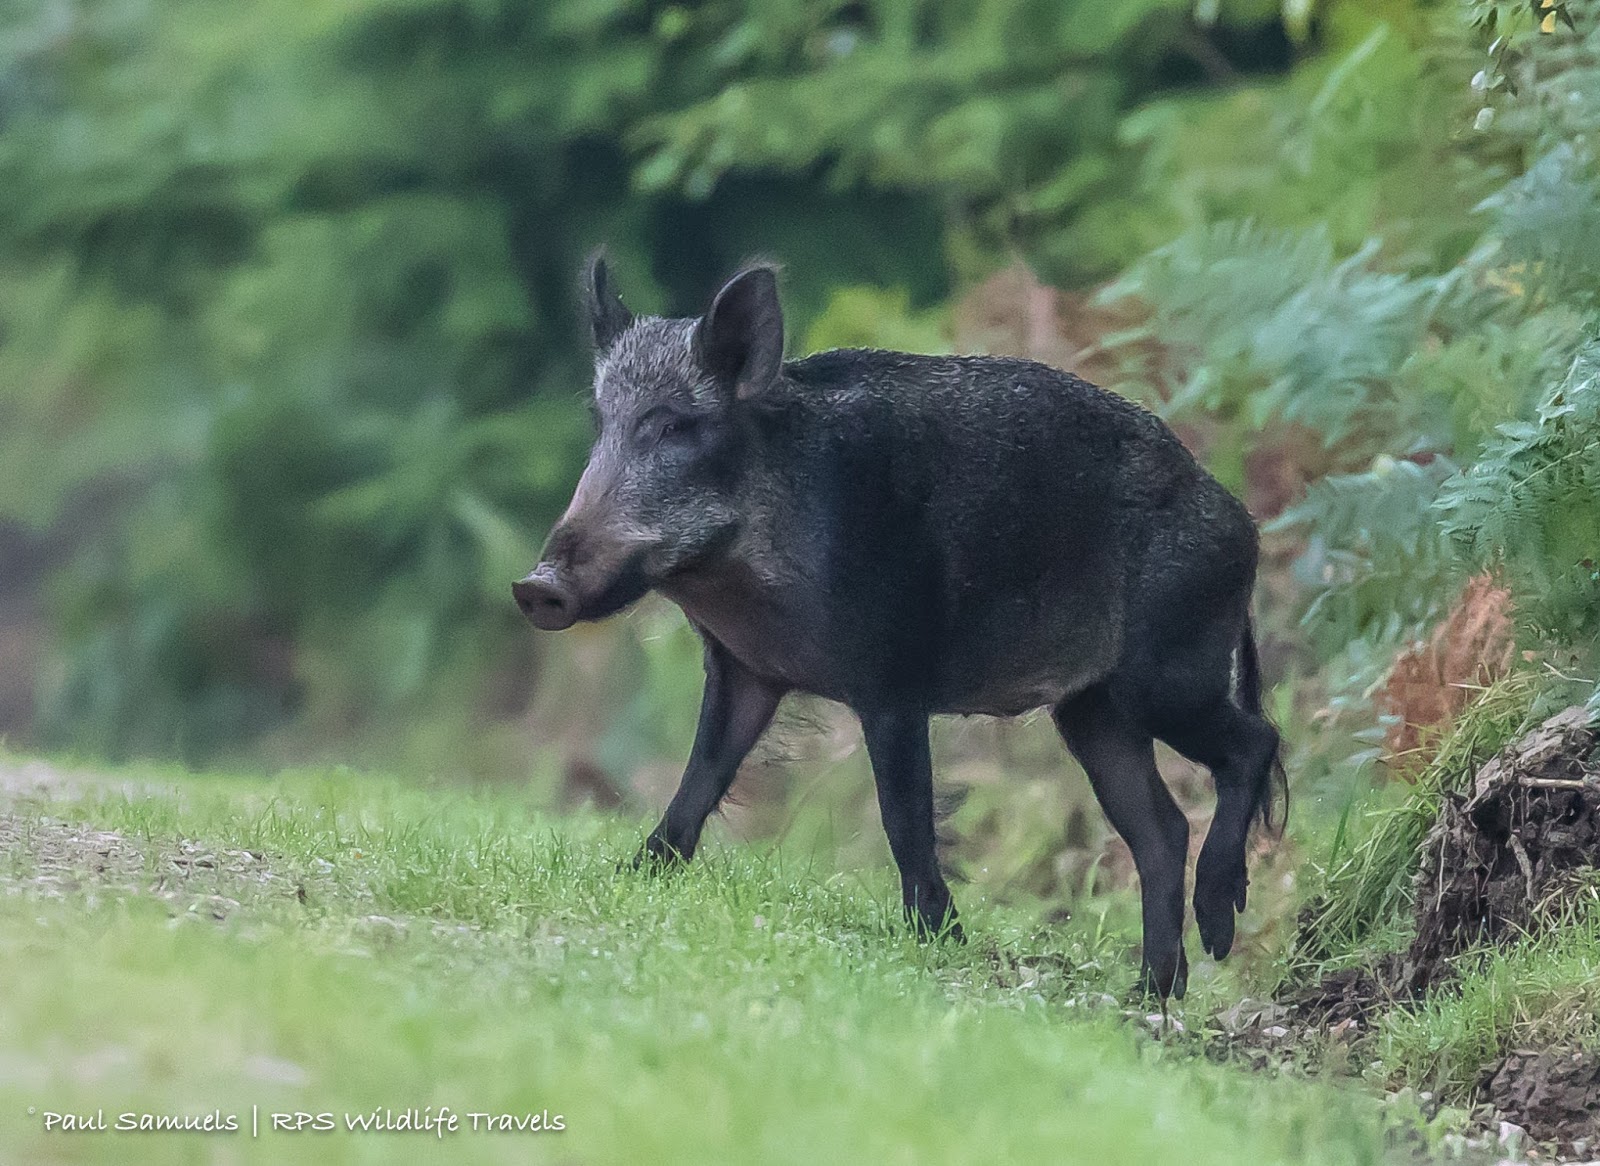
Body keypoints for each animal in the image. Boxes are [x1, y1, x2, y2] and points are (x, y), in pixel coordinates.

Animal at [513, 255, 1285, 999]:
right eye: (602, 423)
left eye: (675, 424)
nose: (535, 587)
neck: (746, 581)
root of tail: (1243, 528)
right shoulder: (745, 669)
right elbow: (698, 780)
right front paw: (631, 876)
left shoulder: (892, 679)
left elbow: (903, 816)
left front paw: (939, 940)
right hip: (1092, 711)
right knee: (1162, 829)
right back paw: (1151, 993)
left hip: (1167, 673)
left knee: (1254, 743)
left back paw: (1215, 934)